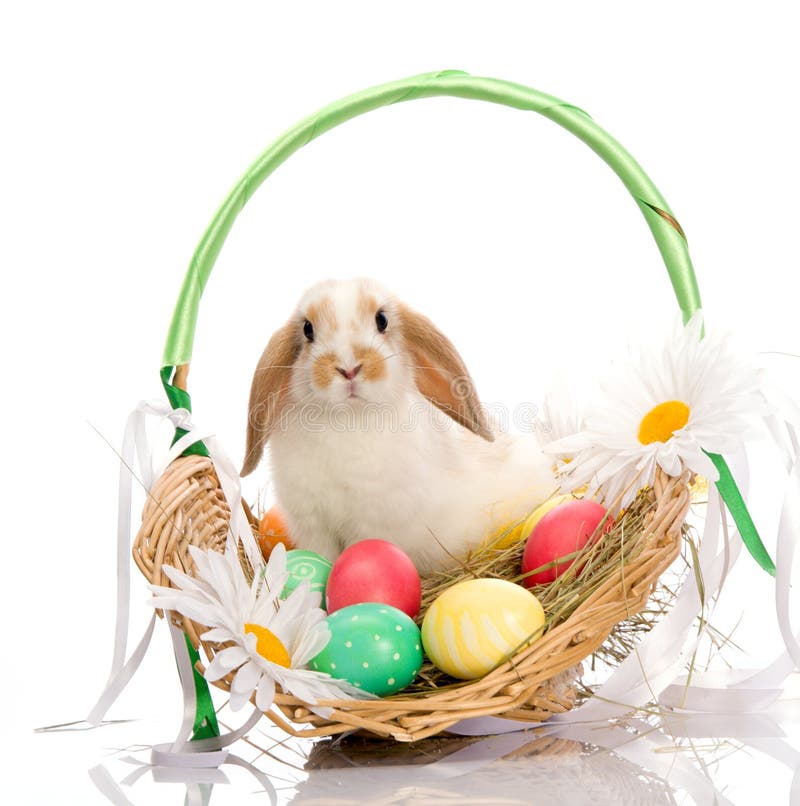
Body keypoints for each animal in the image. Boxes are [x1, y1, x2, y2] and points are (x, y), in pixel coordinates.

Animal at [241, 278, 556, 576]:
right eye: (308, 329)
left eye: (382, 320)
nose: (348, 369)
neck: (347, 419)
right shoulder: (315, 528)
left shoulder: (373, 526)